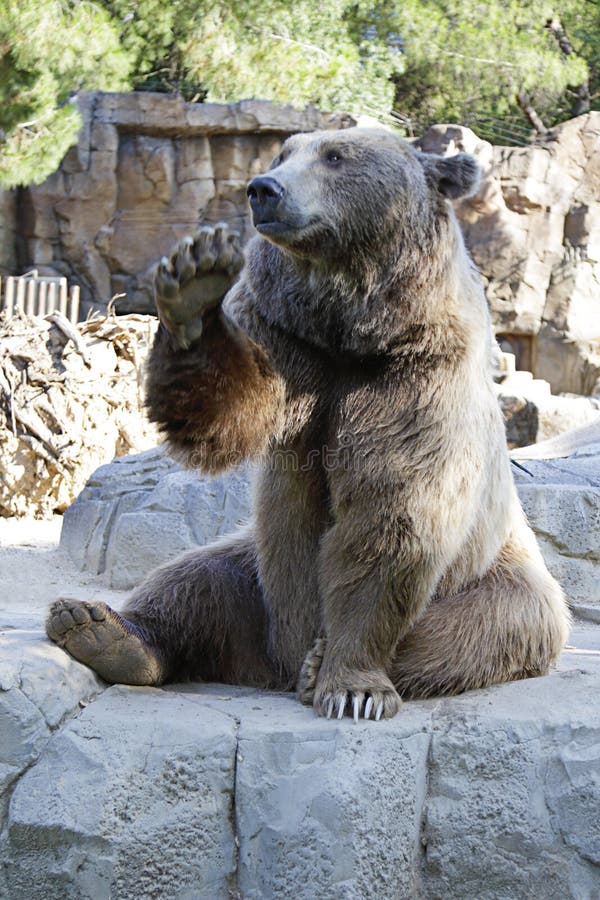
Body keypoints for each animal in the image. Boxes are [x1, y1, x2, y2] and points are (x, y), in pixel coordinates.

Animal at [46, 127, 570, 722]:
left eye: (335, 156)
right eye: (283, 153)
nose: (263, 189)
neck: (352, 326)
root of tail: (269, 662)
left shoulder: (418, 374)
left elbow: (393, 515)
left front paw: (353, 687)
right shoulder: (287, 344)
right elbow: (226, 413)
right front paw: (195, 286)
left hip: (503, 581)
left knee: (467, 630)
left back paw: (315, 661)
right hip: (256, 572)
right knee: (193, 580)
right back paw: (102, 630)